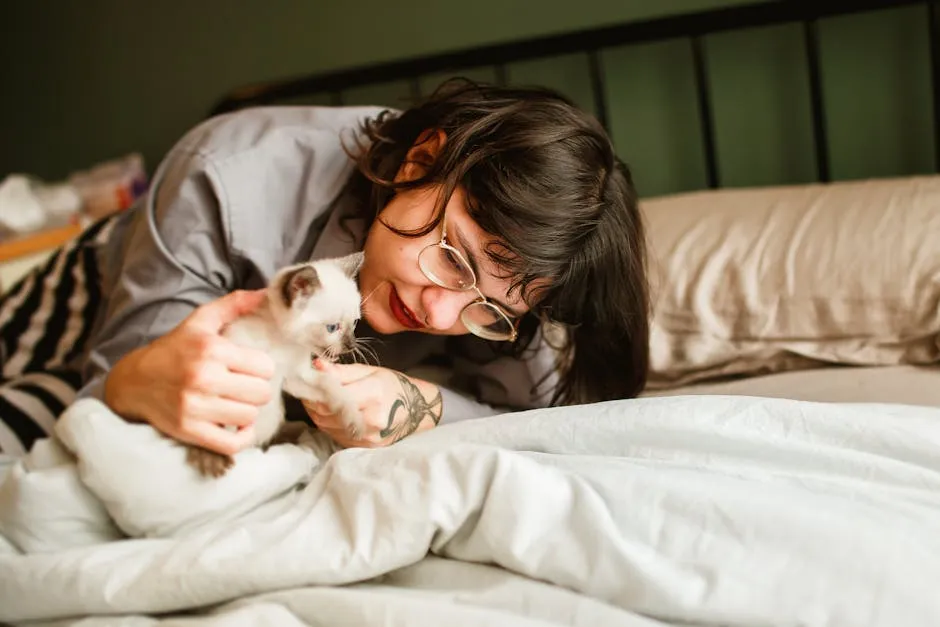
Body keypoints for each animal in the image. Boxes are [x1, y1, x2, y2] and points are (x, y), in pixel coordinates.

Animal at [184, 253, 364, 478]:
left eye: (355, 323)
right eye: (332, 328)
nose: (351, 345)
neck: (284, 344)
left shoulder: (294, 378)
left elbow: (332, 384)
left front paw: (354, 421)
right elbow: (220, 417)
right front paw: (212, 451)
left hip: (274, 414)